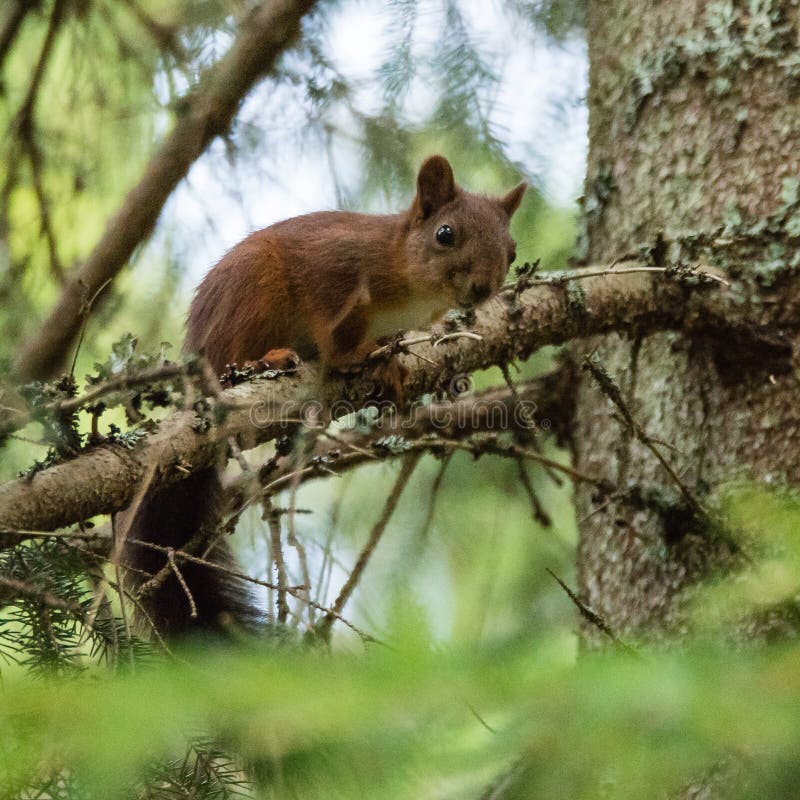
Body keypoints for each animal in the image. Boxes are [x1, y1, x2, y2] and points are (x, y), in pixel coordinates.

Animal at [124, 155, 526, 638]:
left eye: (512, 250)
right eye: (445, 234)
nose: (483, 287)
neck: (409, 281)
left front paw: (391, 364)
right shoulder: (333, 268)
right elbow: (332, 329)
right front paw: (350, 356)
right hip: (251, 294)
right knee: (229, 363)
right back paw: (266, 360)